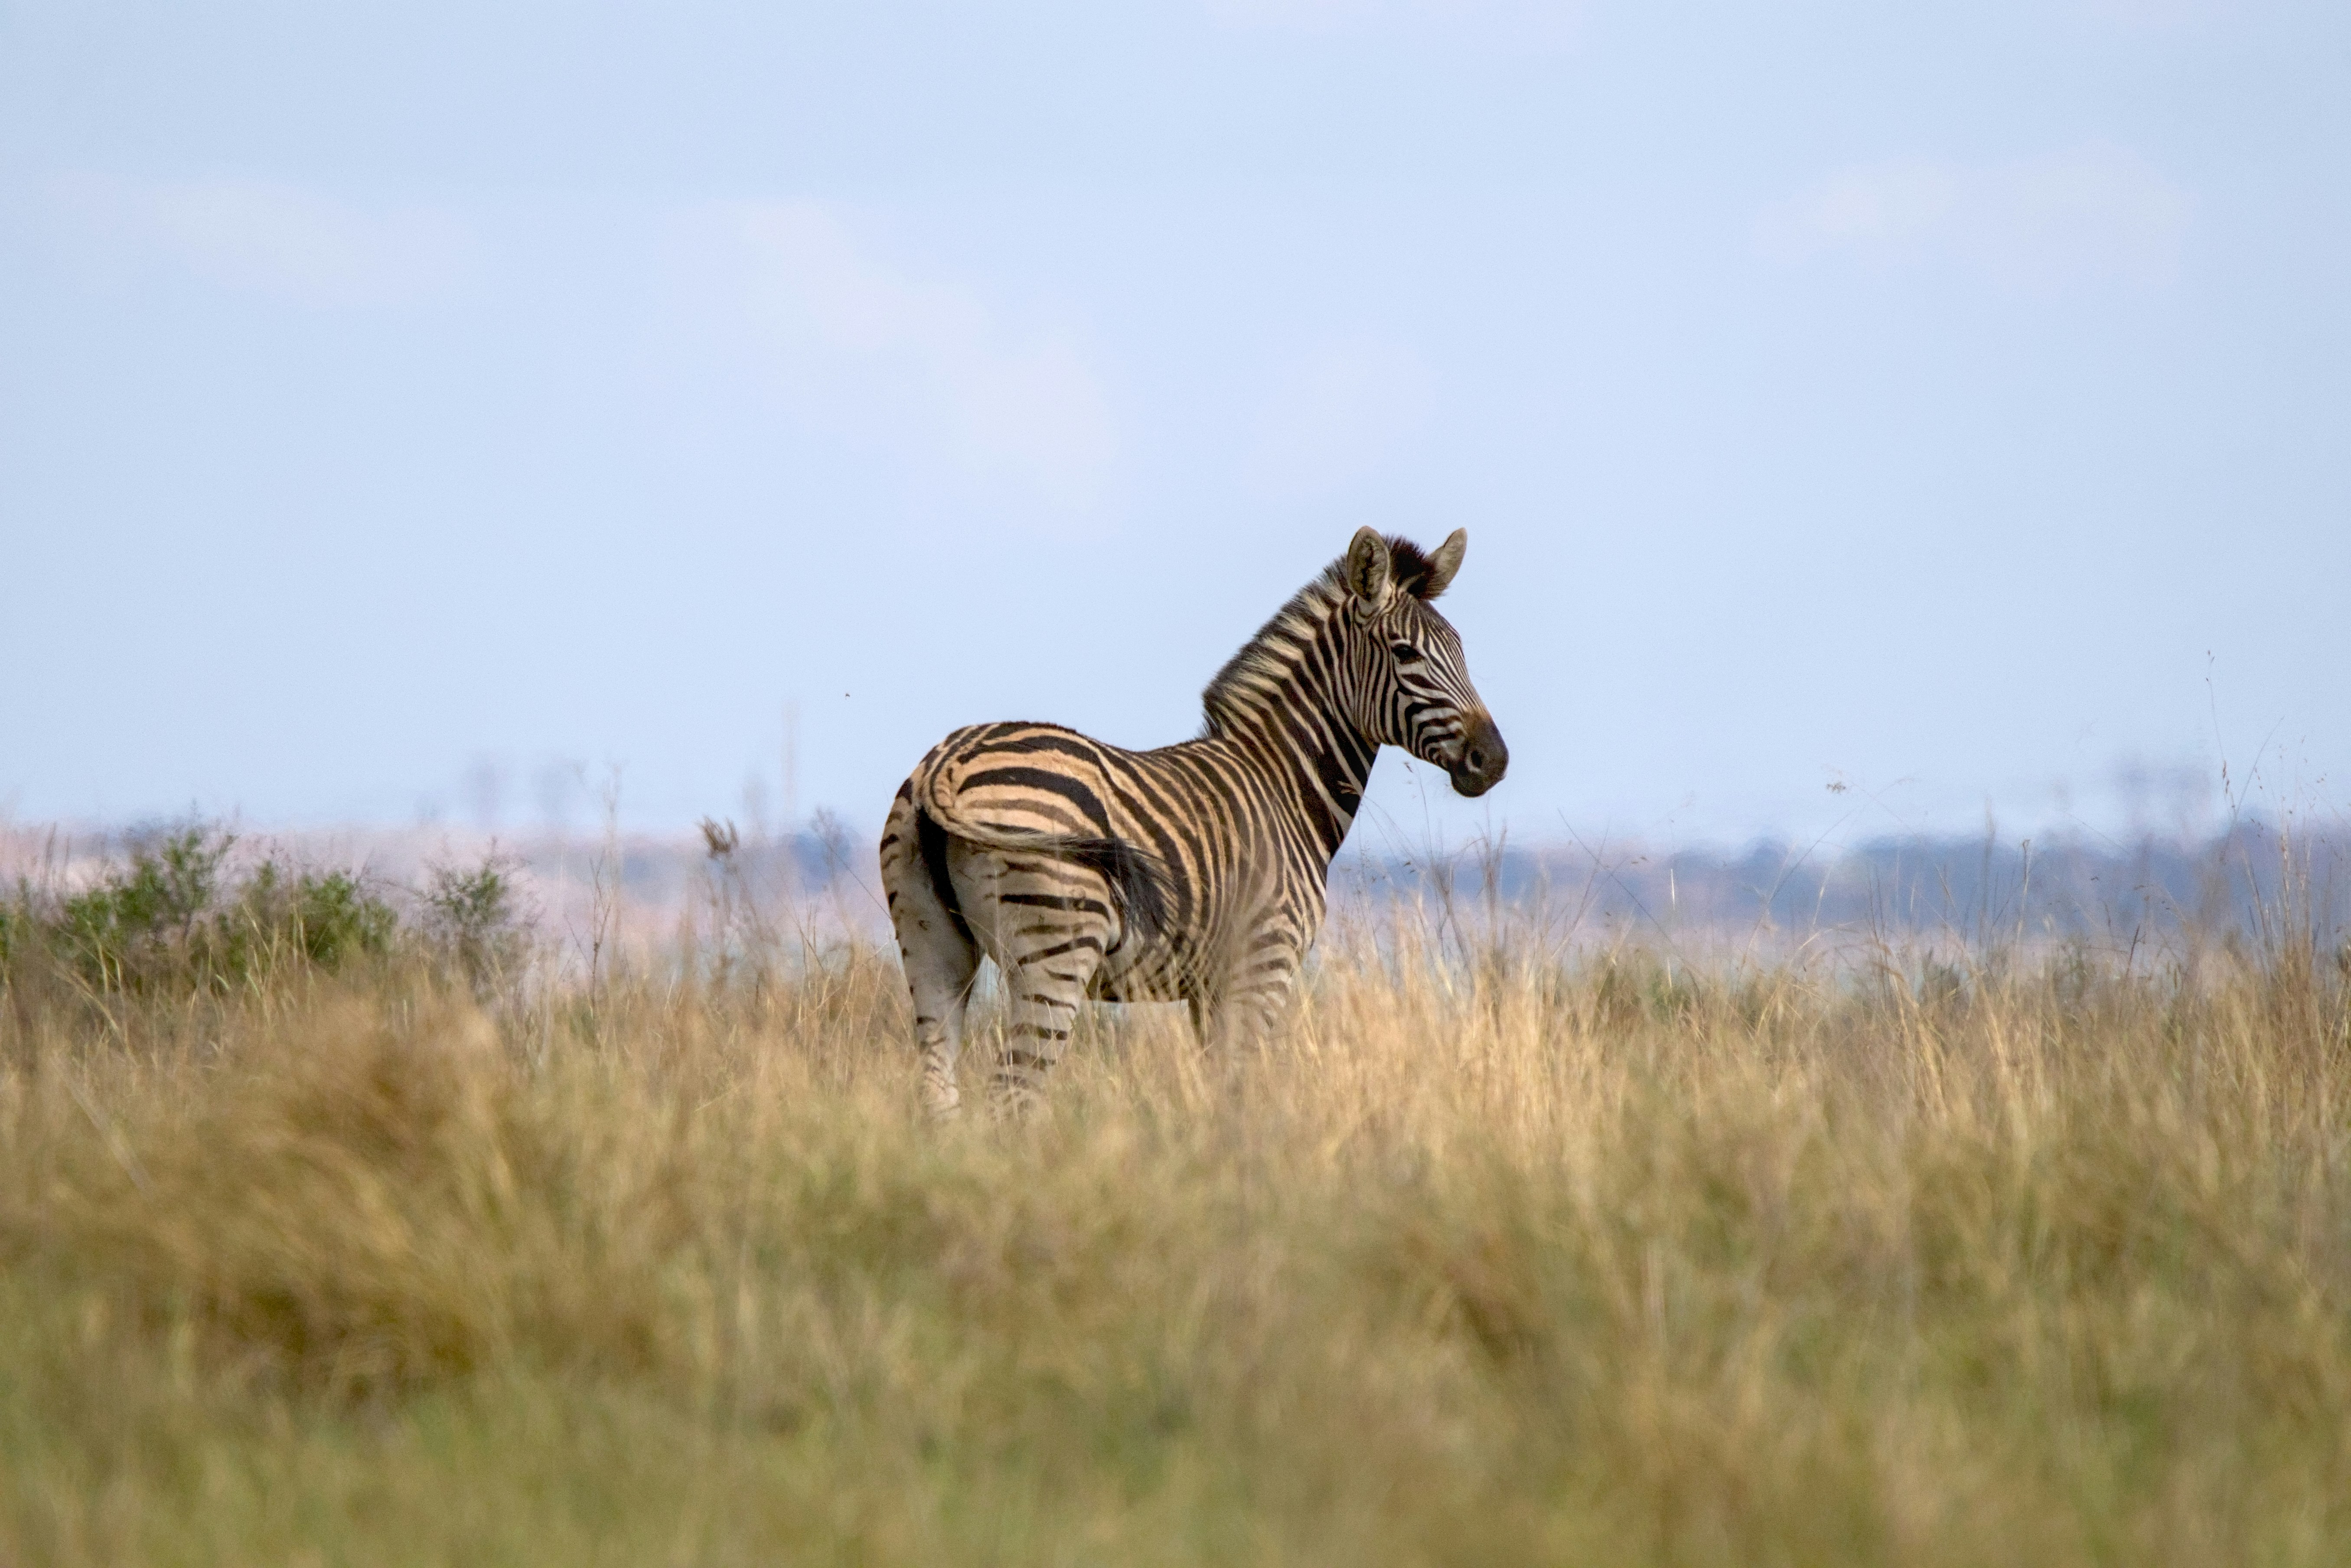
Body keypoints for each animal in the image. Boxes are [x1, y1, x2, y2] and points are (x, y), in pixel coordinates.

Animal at [877, 527, 1508, 1117]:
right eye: (1404, 653)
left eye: (1460, 650)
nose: (1494, 760)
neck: (1282, 785)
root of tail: (948, 762)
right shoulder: (1262, 966)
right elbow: (1237, 1094)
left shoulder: (1210, 987)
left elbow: (1214, 1093)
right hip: (1054, 954)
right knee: (1011, 1097)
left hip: (930, 942)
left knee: (940, 1094)